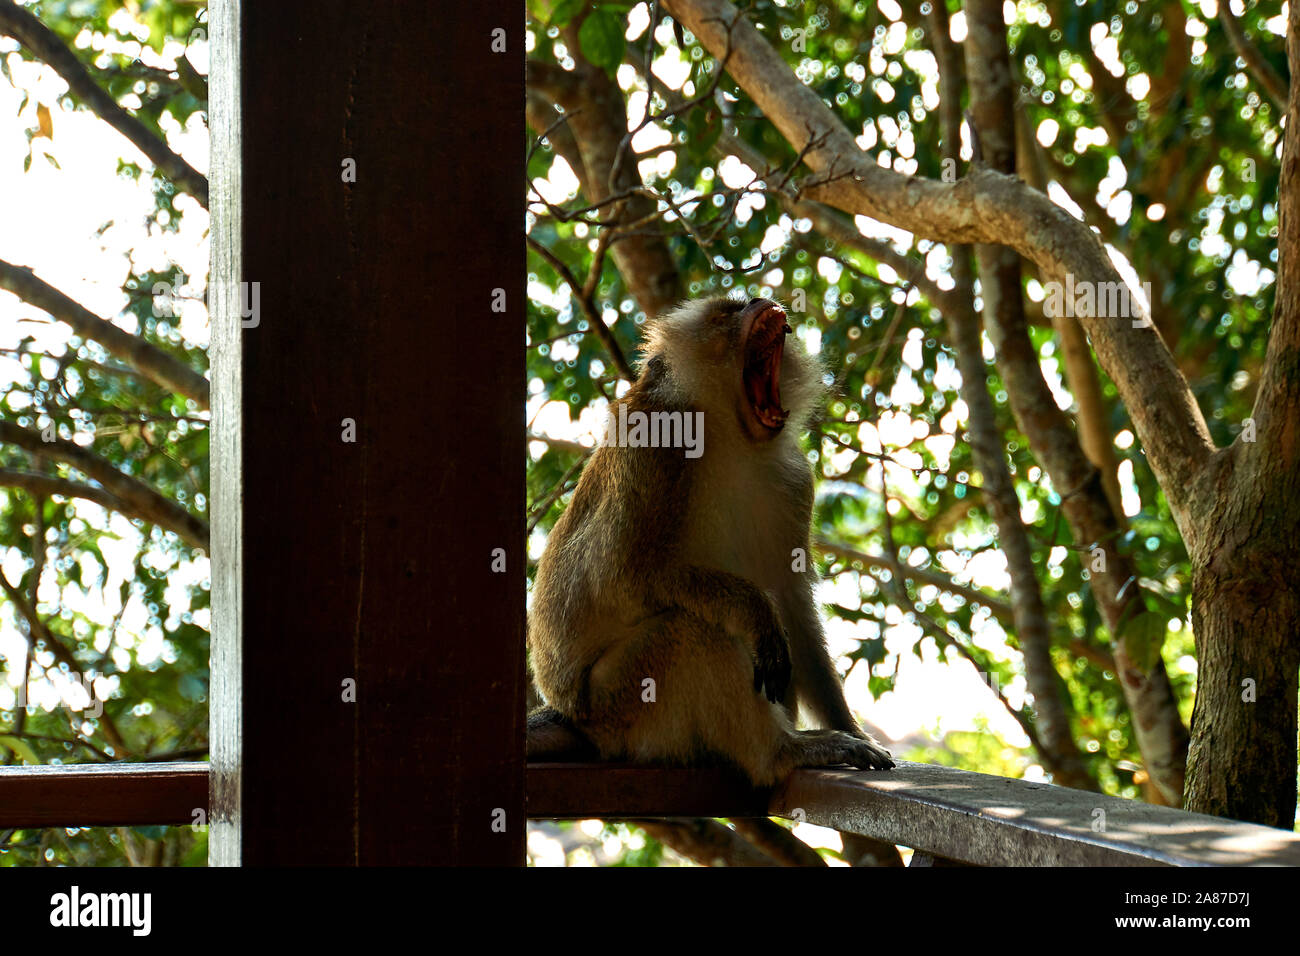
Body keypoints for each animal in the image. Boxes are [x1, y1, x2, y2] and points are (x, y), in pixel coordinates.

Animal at [527, 296, 893, 787]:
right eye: (729, 313)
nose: (761, 301)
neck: (729, 436)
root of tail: (576, 720)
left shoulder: (795, 481)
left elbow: (793, 603)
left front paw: (850, 726)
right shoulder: (656, 444)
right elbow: (625, 578)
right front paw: (754, 608)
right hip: (620, 703)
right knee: (689, 628)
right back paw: (783, 752)